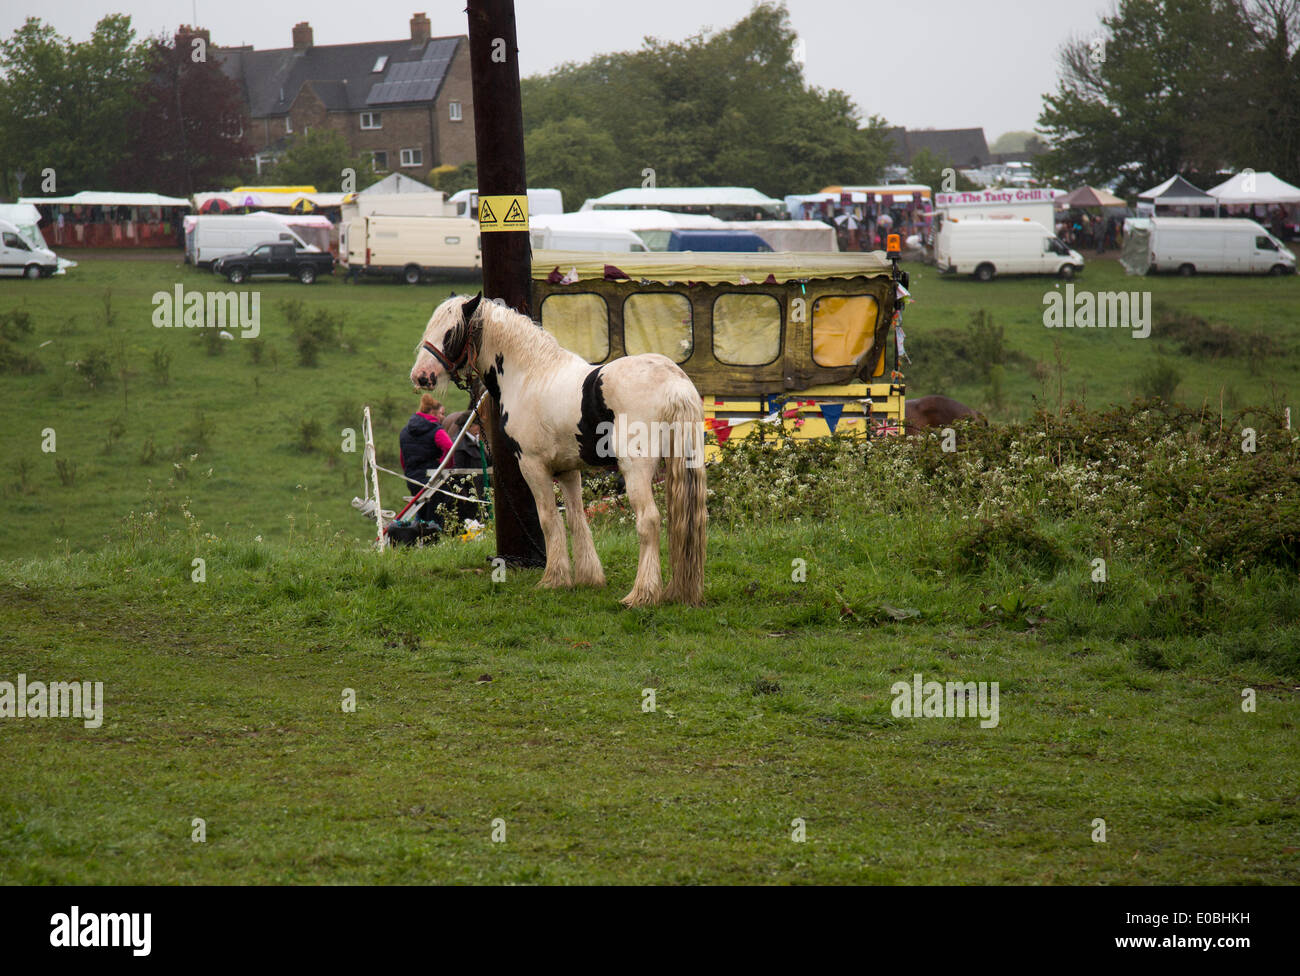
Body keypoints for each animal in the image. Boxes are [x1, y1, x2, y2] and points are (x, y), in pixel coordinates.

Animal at [409, 293, 707, 607]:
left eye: (450, 332)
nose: (421, 376)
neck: (530, 375)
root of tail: (673, 381)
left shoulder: (533, 466)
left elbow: (549, 519)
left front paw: (554, 579)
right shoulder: (567, 469)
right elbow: (576, 518)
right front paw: (588, 577)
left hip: (636, 470)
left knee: (648, 521)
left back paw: (642, 594)